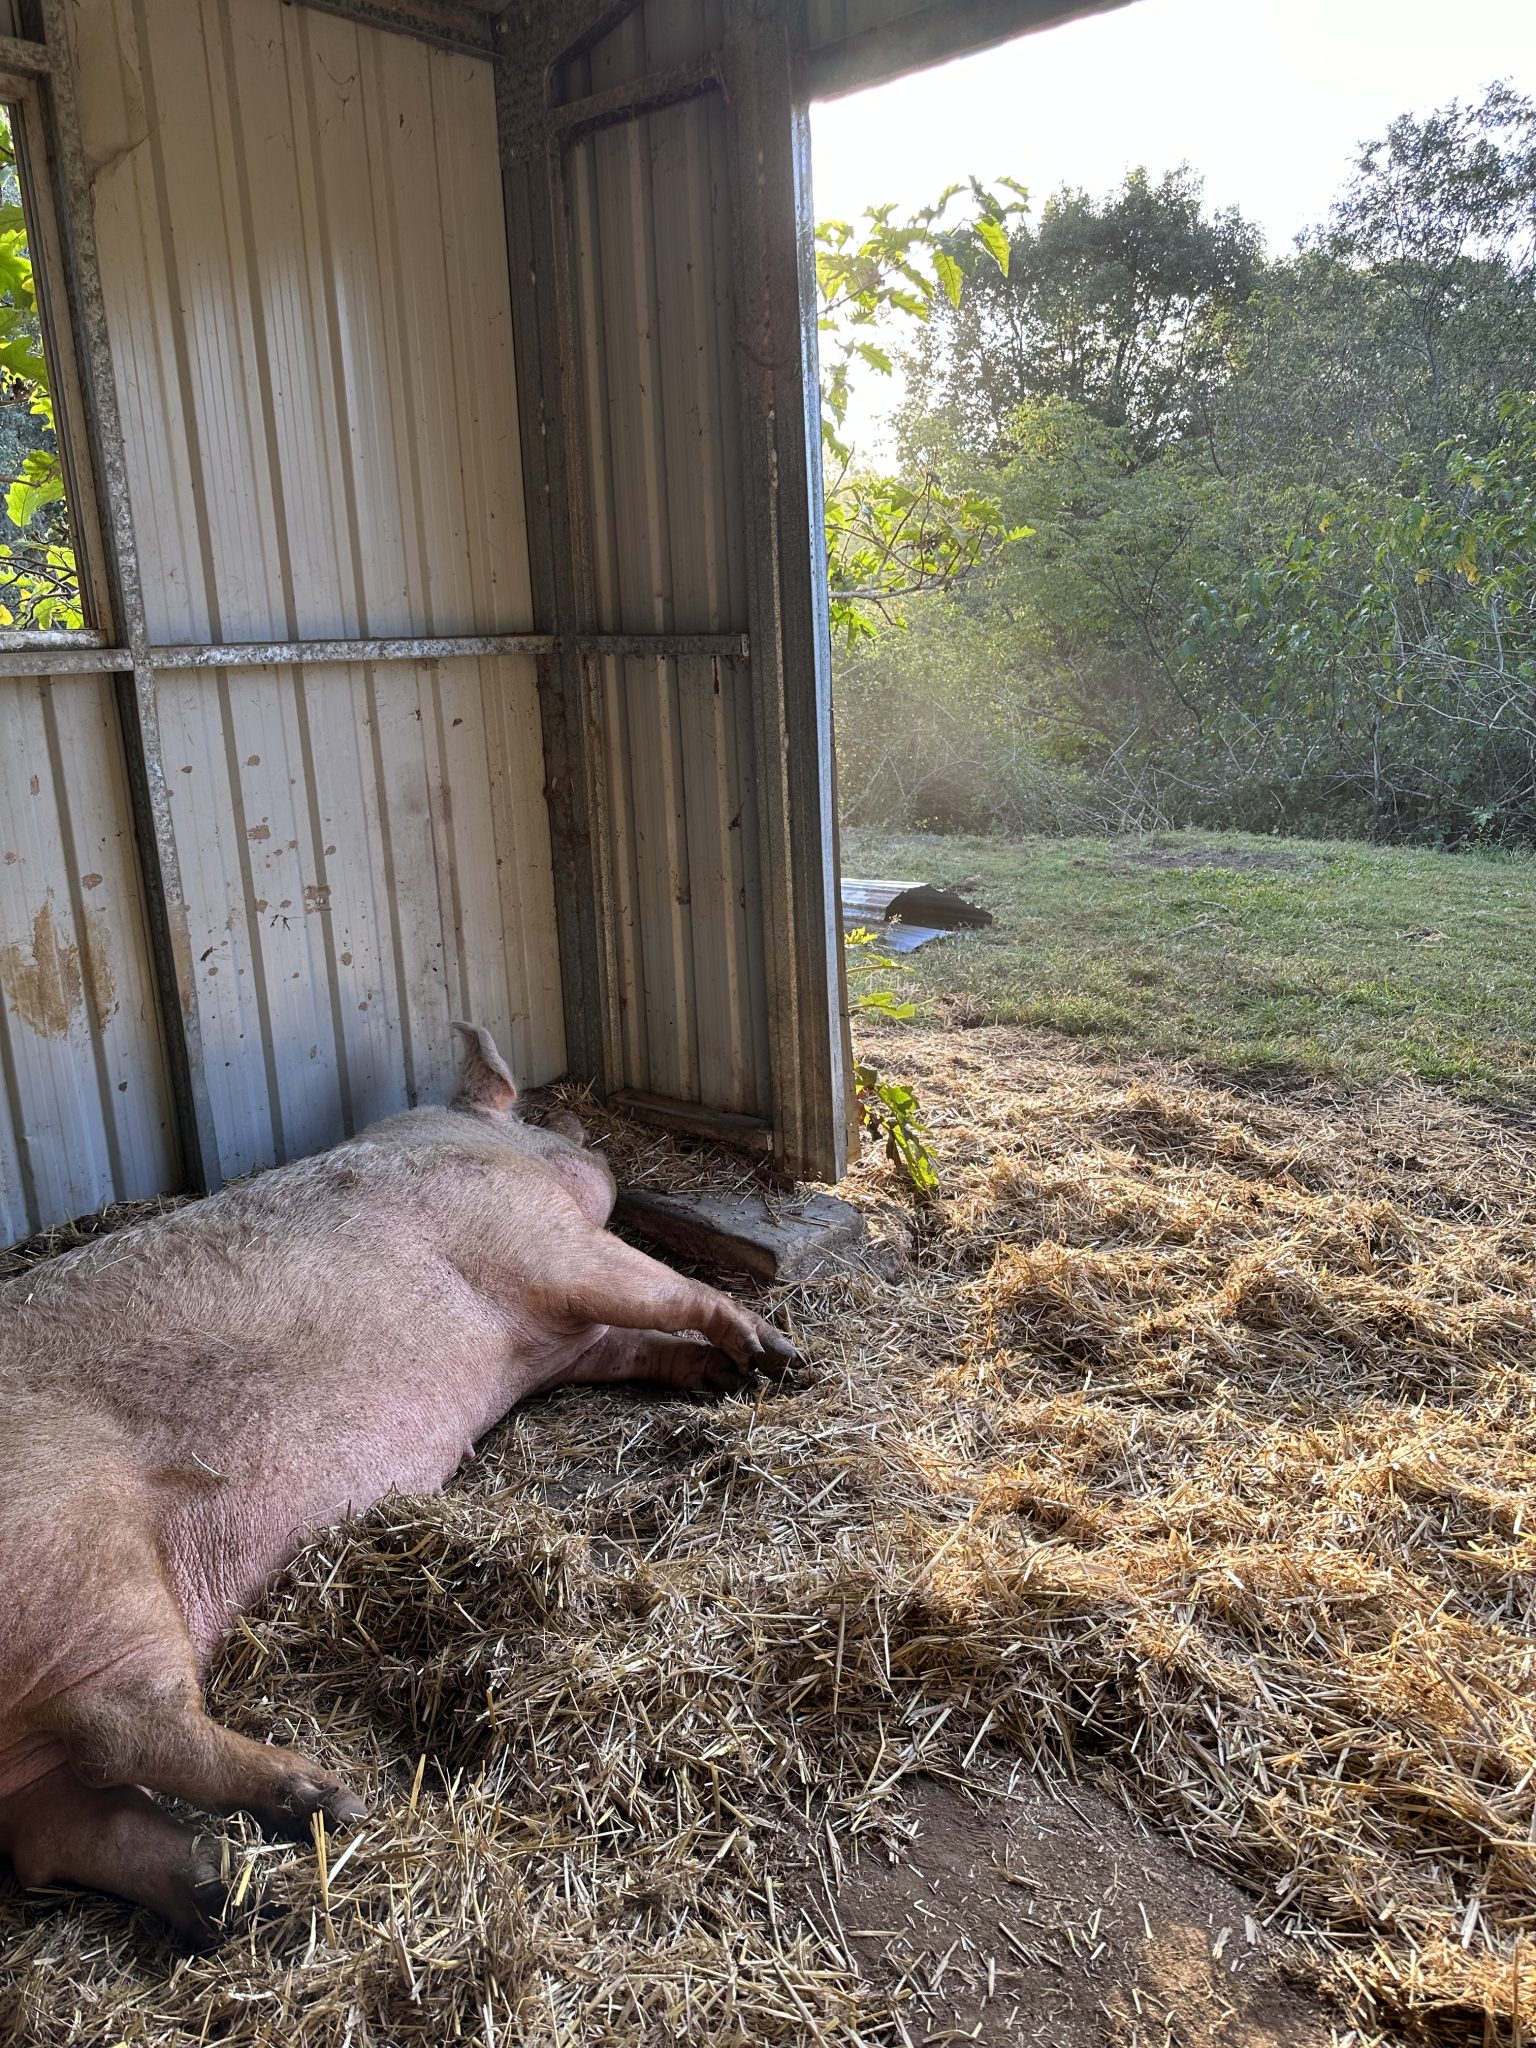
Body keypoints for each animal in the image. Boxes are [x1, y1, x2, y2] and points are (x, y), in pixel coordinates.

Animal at [0, 1023, 794, 1944]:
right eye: (540, 1119)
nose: (585, 1131)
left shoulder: (567, 1344)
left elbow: (644, 1342)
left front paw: (726, 1375)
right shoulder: (541, 1242)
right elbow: (666, 1286)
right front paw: (777, 1353)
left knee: (52, 1830)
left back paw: (233, 1895)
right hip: (83, 1564)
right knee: (118, 1732)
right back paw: (329, 1803)